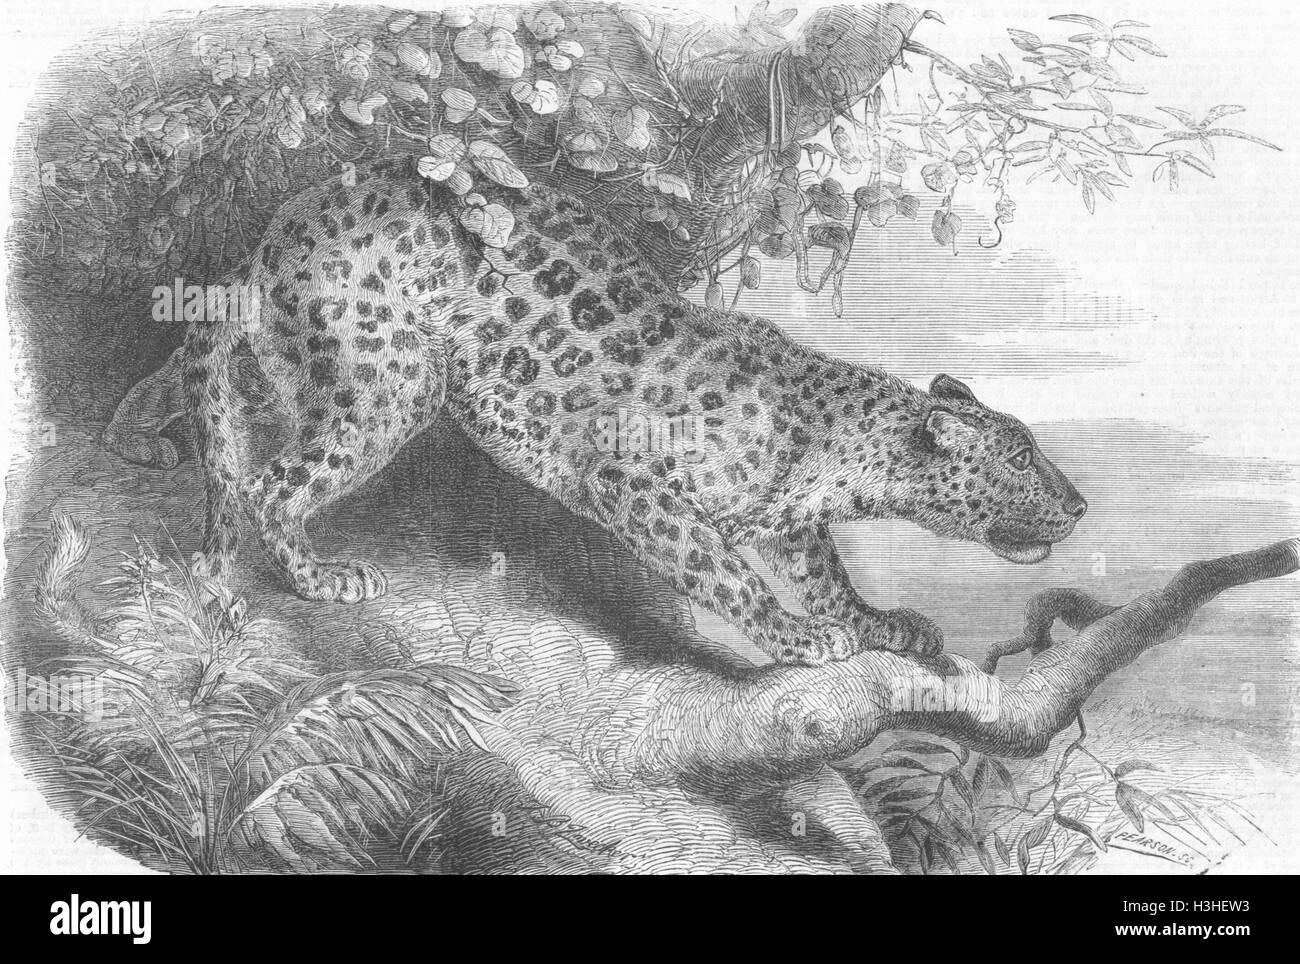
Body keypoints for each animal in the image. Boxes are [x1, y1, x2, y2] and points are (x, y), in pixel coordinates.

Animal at [116, 160, 1088, 666]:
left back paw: (138, 437)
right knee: (269, 485)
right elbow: (722, 569)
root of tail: (277, 237)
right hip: (392, 382)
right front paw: (794, 636)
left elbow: (826, 574)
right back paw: (321, 576)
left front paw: (877, 623)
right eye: (1021, 462)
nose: (1080, 504)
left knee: (191, 375)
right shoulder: (632, 480)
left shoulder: (791, 522)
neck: (836, 448)